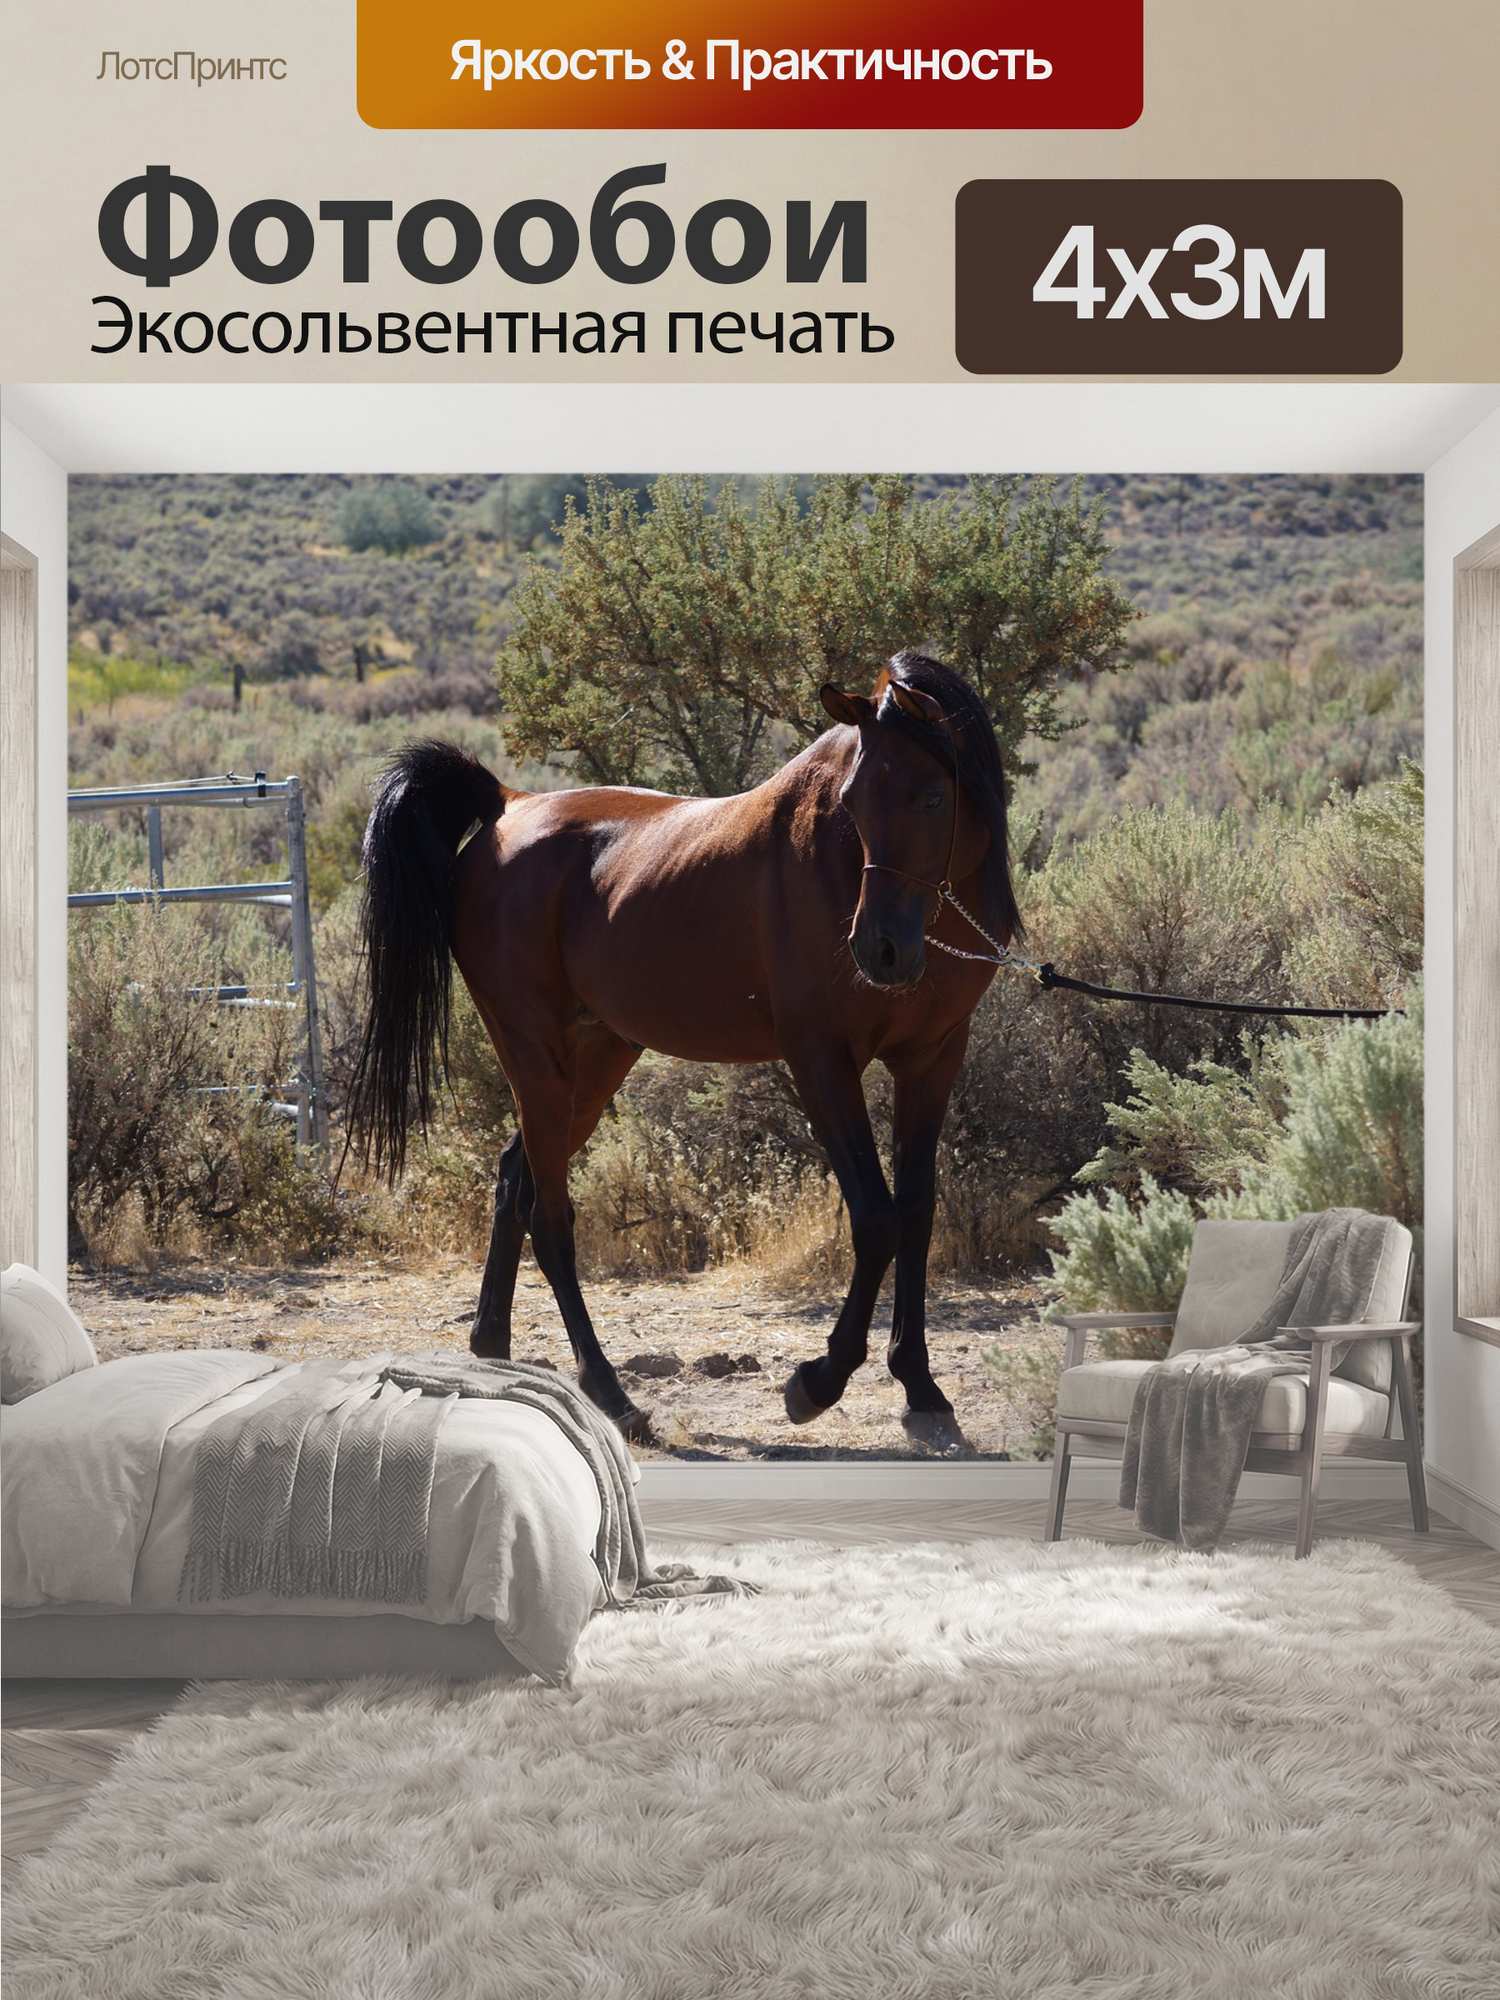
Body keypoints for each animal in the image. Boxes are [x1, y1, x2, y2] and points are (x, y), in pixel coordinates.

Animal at [347, 650, 1021, 1455]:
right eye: (853, 804)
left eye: (930, 797)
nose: (878, 950)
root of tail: (507, 804)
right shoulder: (821, 1062)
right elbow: (877, 1218)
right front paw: (816, 1382)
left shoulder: (933, 1058)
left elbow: (916, 1212)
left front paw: (921, 1390)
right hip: (535, 1050)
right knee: (551, 1215)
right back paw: (611, 1395)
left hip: (598, 1055)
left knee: (514, 1181)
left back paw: (496, 1358)